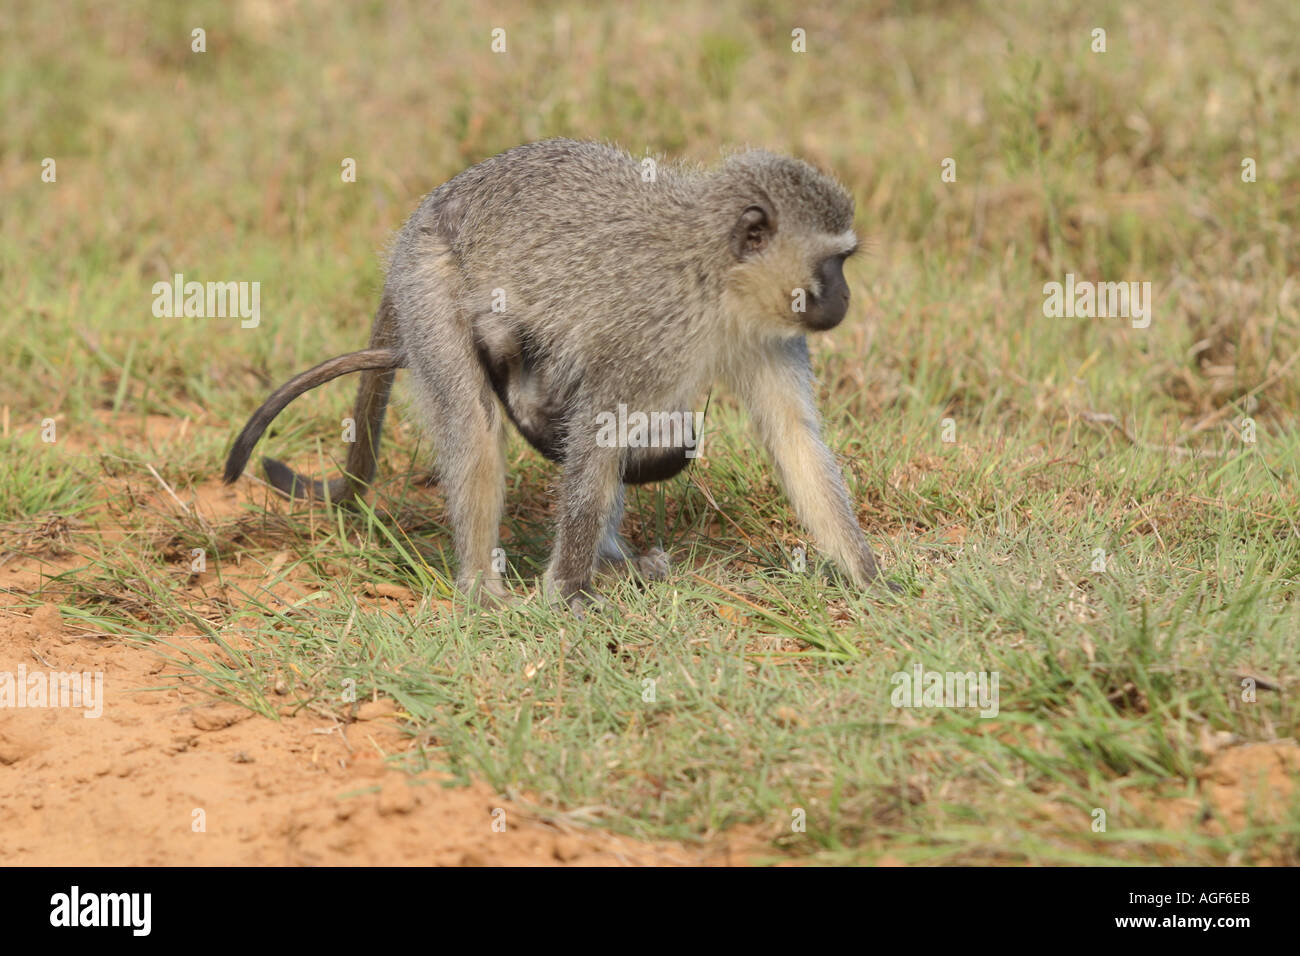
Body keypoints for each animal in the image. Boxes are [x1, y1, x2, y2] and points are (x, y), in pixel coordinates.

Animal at [223, 138, 896, 613]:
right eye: (833, 264)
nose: (844, 299)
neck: (715, 279)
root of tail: (422, 217)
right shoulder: (642, 336)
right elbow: (598, 434)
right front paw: (568, 591)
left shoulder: (768, 338)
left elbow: (795, 442)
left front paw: (869, 580)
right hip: (430, 282)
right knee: (476, 430)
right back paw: (481, 588)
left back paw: (615, 560)